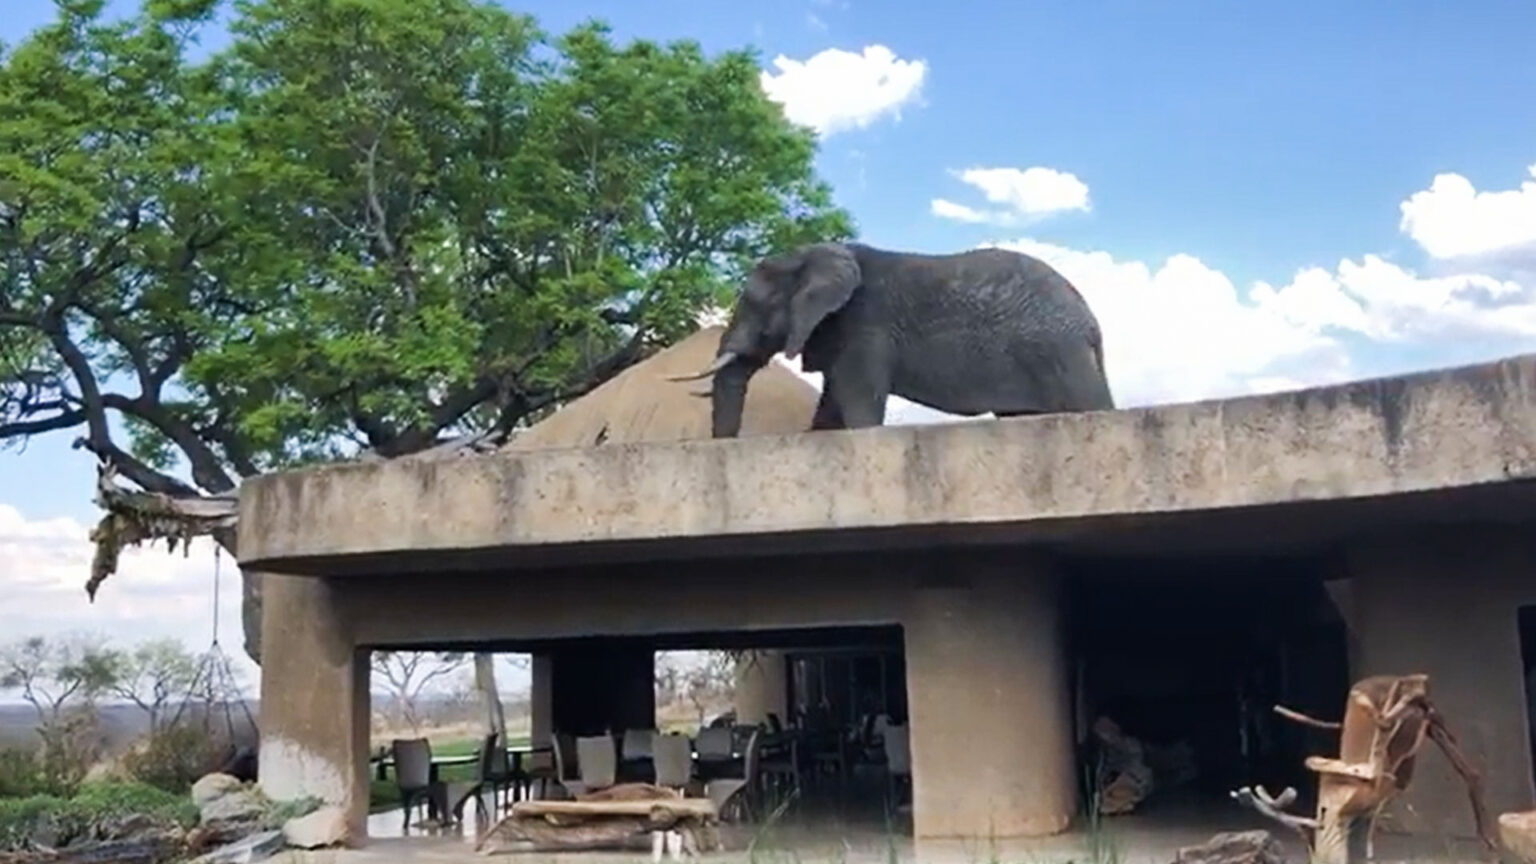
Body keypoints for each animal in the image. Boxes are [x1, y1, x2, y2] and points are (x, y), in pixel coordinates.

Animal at [668, 241, 1115, 437]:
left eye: (754, 306)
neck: (811, 255)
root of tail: (1092, 322)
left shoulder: (865, 328)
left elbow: (859, 405)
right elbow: (830, 409)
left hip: (1056, 354)